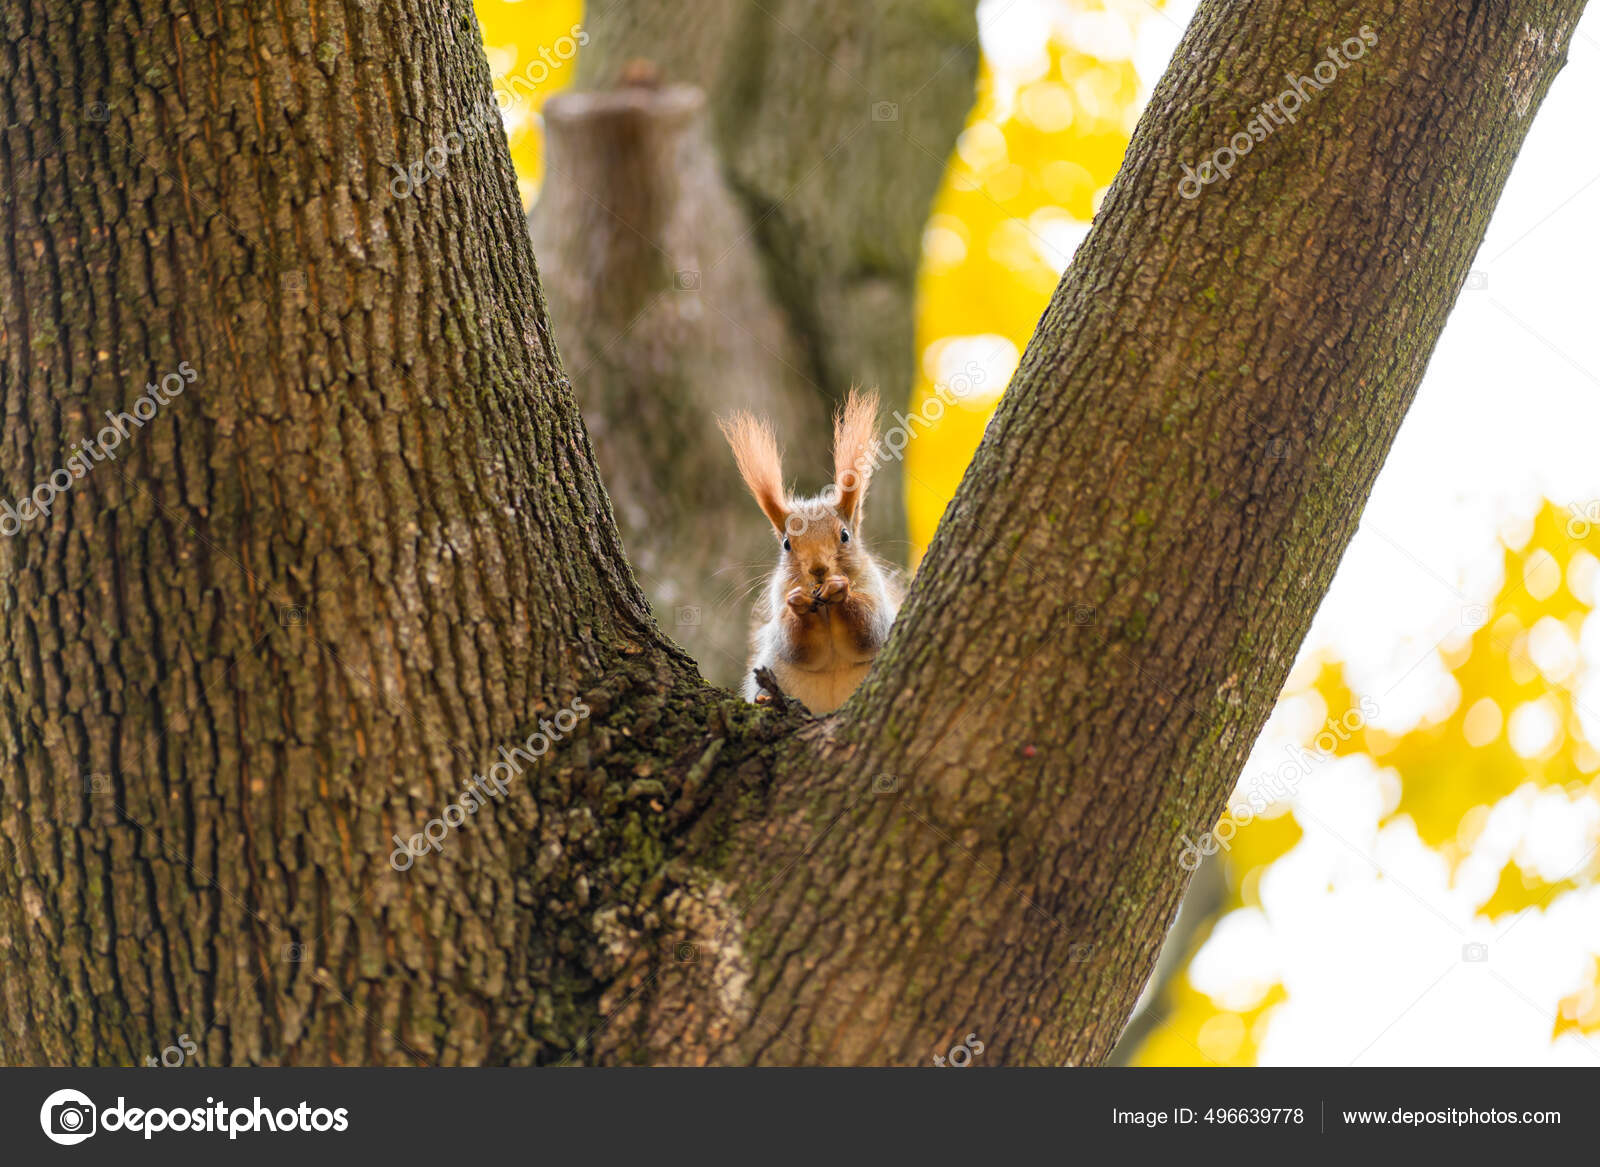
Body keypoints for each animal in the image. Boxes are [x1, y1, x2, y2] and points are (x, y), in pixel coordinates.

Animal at [719, 388, 902, 714]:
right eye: (786, 544)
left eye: (844, 536)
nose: (818, 569)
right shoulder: (779, 603)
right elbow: (795, 644)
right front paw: (799, 602)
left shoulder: (874, 593)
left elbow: (868, 629)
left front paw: (840, 589)